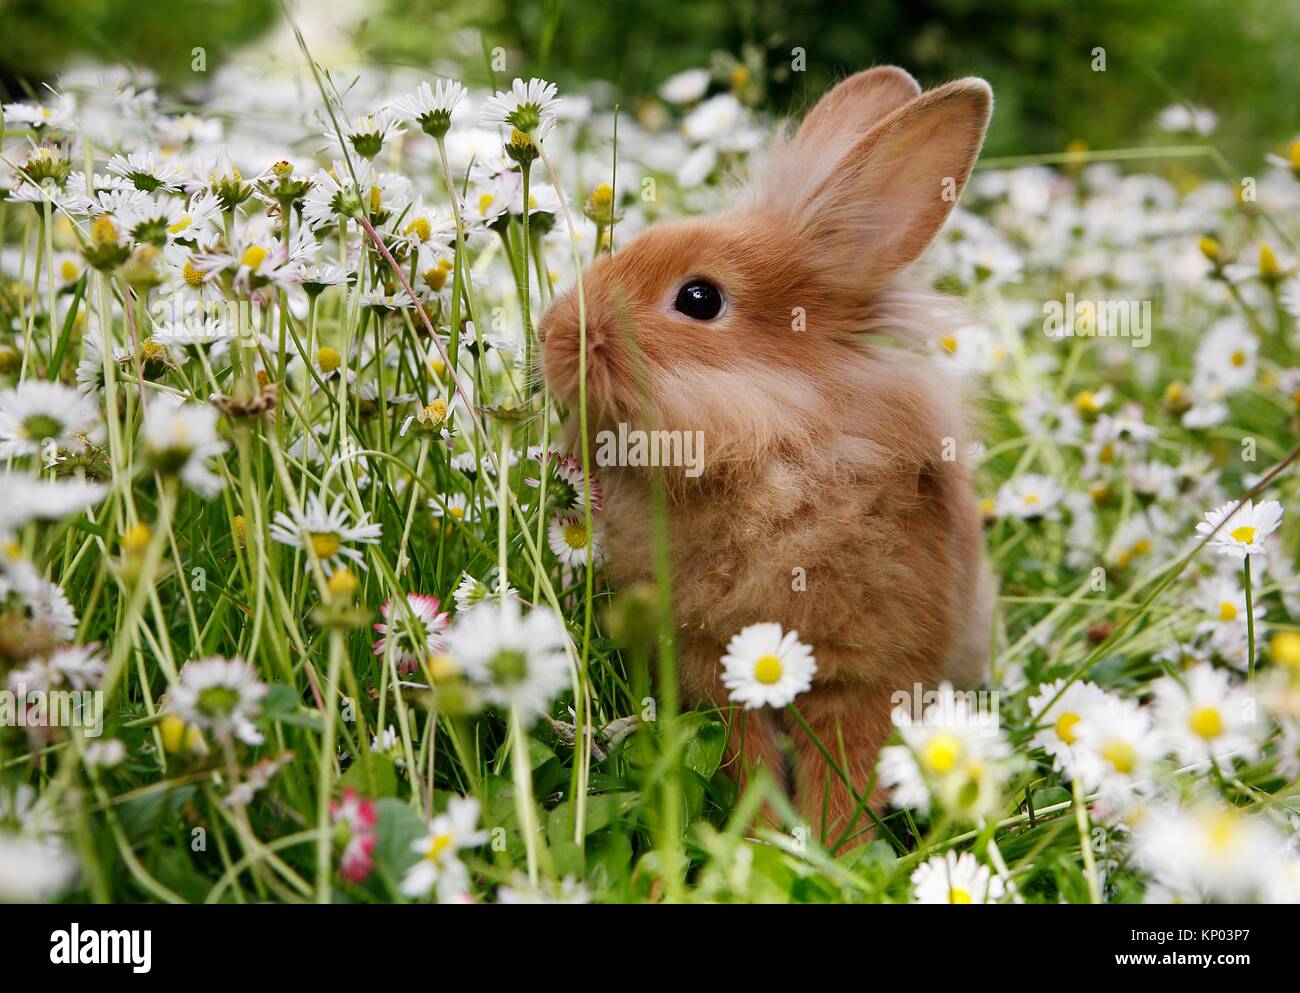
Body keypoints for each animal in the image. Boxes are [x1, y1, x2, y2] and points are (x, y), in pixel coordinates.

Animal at [537, 67, 994, 846]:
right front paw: (764, 841)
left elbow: (849, 772)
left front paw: (831, 848)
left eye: (699, 298)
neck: (781, 447)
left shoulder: (870, 676)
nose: (556, 335)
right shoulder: (716, 667)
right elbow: (745, 760)